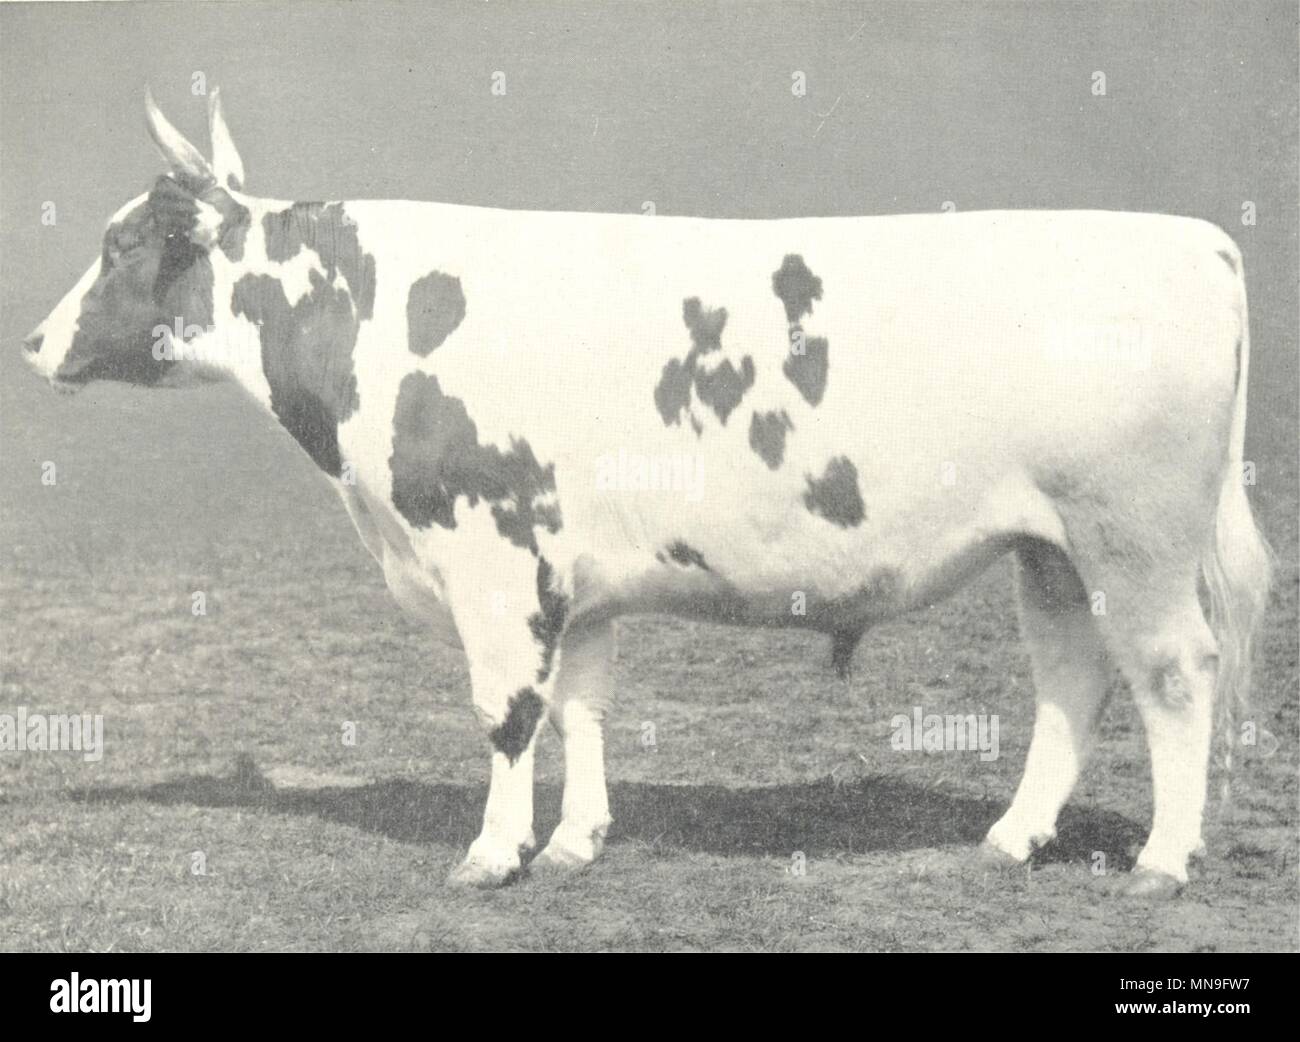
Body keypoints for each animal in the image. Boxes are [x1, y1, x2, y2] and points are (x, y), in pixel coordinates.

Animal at [23, 91, 1272, 896]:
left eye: (123, 243)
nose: (32, 341)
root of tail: (1196, 241)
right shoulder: (572, 574)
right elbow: (582, 702)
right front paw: (574, 841)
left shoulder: (494, 555)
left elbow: (507, 711)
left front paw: (492, 855)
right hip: (1051, 544)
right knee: (1073, 676)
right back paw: (1012, 837)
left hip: (1133, 534)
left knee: (1173, 671)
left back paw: (1160, 863)